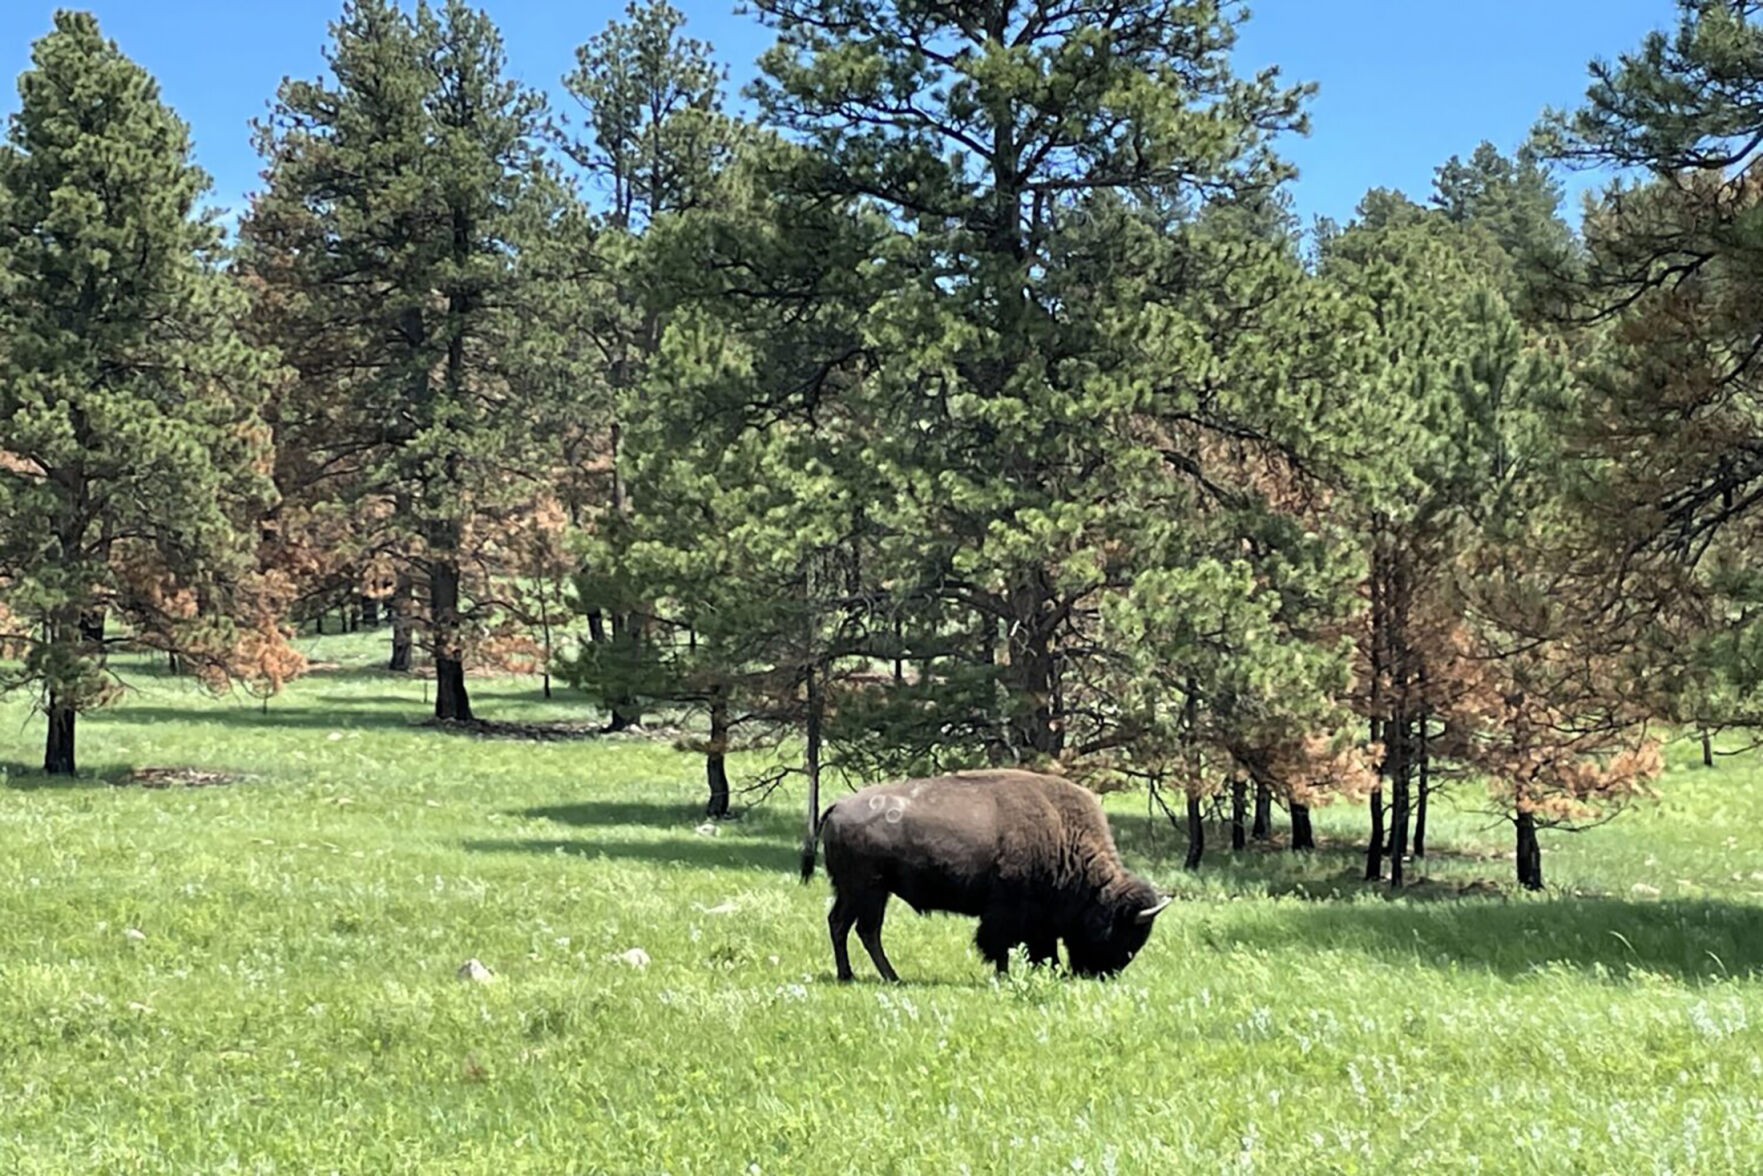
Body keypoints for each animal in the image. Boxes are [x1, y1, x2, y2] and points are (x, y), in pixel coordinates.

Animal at [799, 768, 1171, 982]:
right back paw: (887, 977)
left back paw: (853, 975)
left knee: (841, 924)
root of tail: (839, 806)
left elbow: (1039, 947)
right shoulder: (1007, 913)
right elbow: (1000, 944)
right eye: (1122, 934)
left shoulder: (1037, 921)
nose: (1100, 975)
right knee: (864, 930)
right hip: (869, 892)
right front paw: (1005, 976)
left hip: (857, 892)